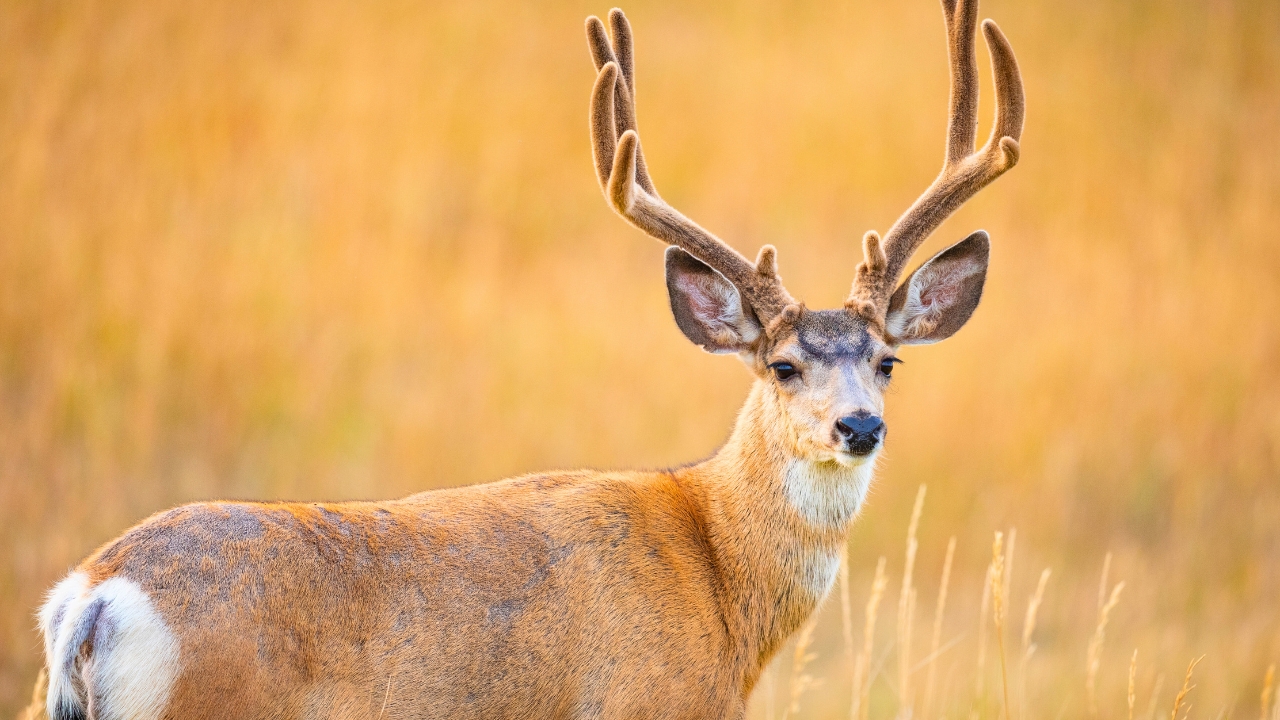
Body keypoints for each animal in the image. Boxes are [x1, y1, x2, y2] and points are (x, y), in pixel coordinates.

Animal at [32, 2, 1022, 718]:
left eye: (888, 361)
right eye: (782, 366)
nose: (859, 426)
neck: (716, 570)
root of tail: (94, 597)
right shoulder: (641, 702)